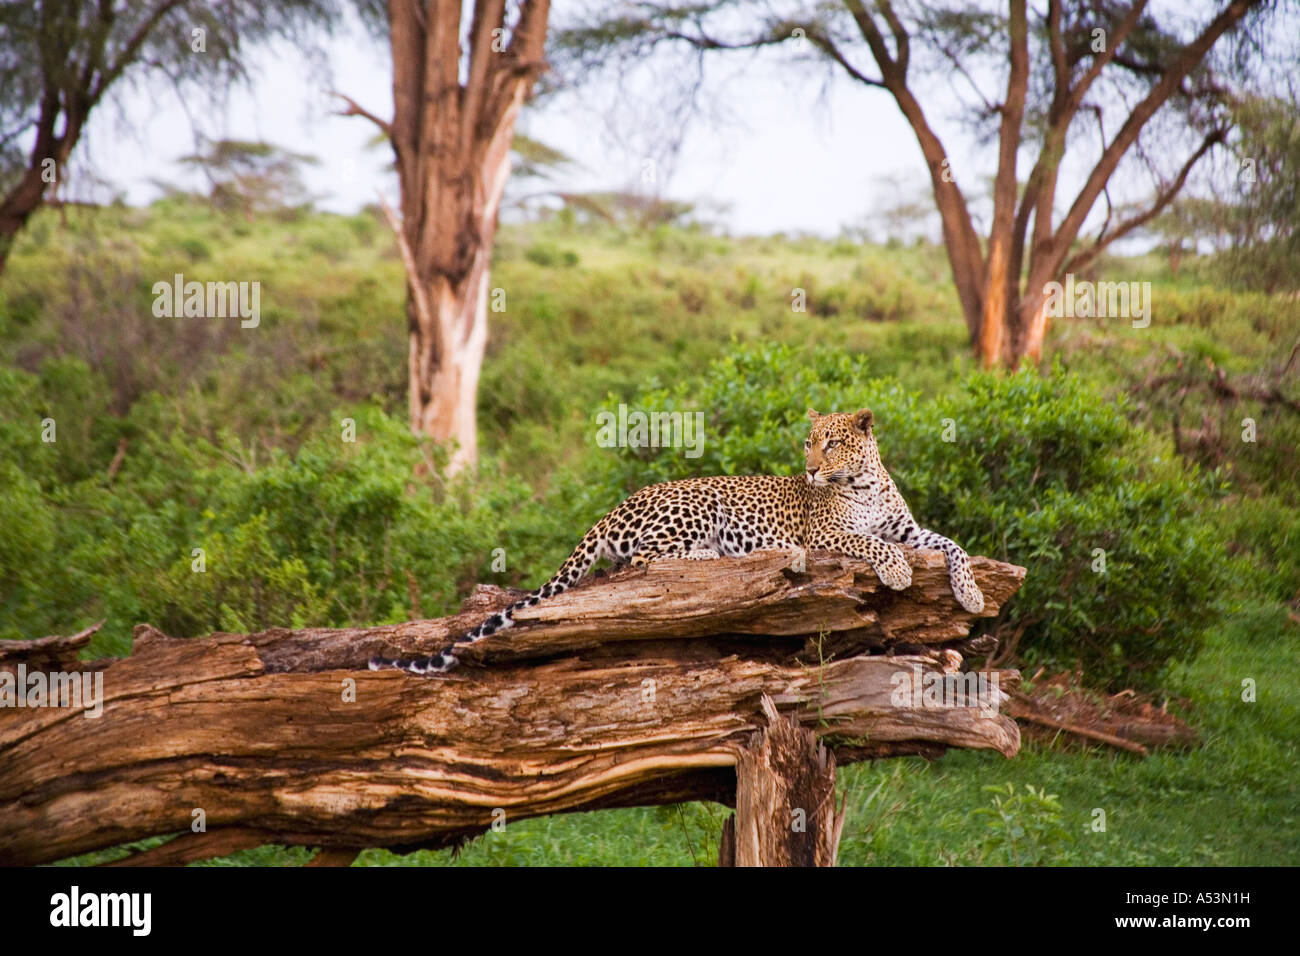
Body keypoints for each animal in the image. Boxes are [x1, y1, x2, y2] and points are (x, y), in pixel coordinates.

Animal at [370, 406, 984, 675]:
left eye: (831, 443)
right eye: (808, 443)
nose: (811, 469)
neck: (864, 480)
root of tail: (615, 506)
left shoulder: (909, 528)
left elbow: (953, 544)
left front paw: (973, 593)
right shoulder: (828, 533)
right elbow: (872, 545)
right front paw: (899, 572)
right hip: (695, 505)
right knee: (647, 558)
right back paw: (744, 553)